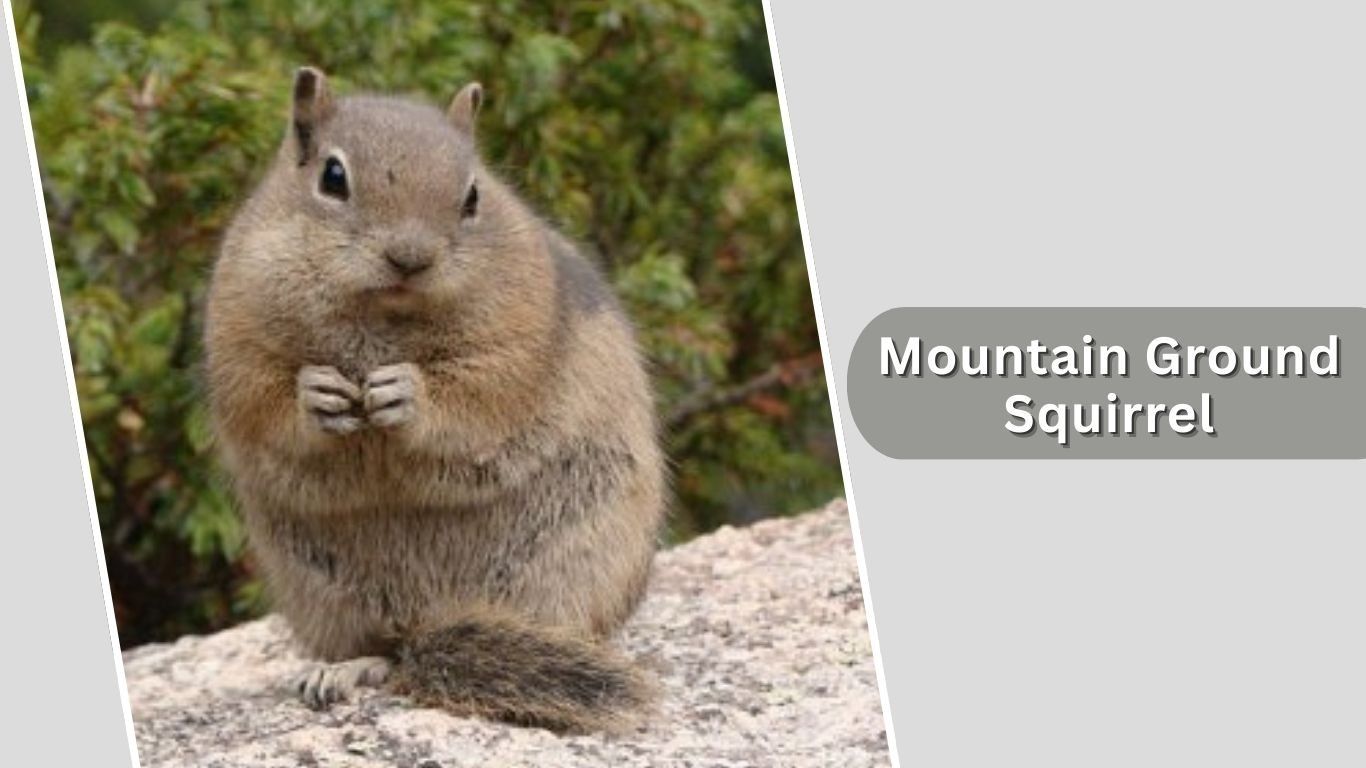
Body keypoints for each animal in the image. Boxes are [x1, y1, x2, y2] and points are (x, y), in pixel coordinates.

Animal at [203, 67, 667, 733]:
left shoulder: (515, 337)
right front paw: (316, 395)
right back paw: (340, 671)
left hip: (573, 568)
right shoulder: (237, 334)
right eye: (333, 177)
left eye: (472, 196)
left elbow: (481, 392)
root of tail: (429, 625)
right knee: (380, 653)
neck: (383, 316)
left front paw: (407, 394)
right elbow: (259, 396)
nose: (411, 258)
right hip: (321, 595)